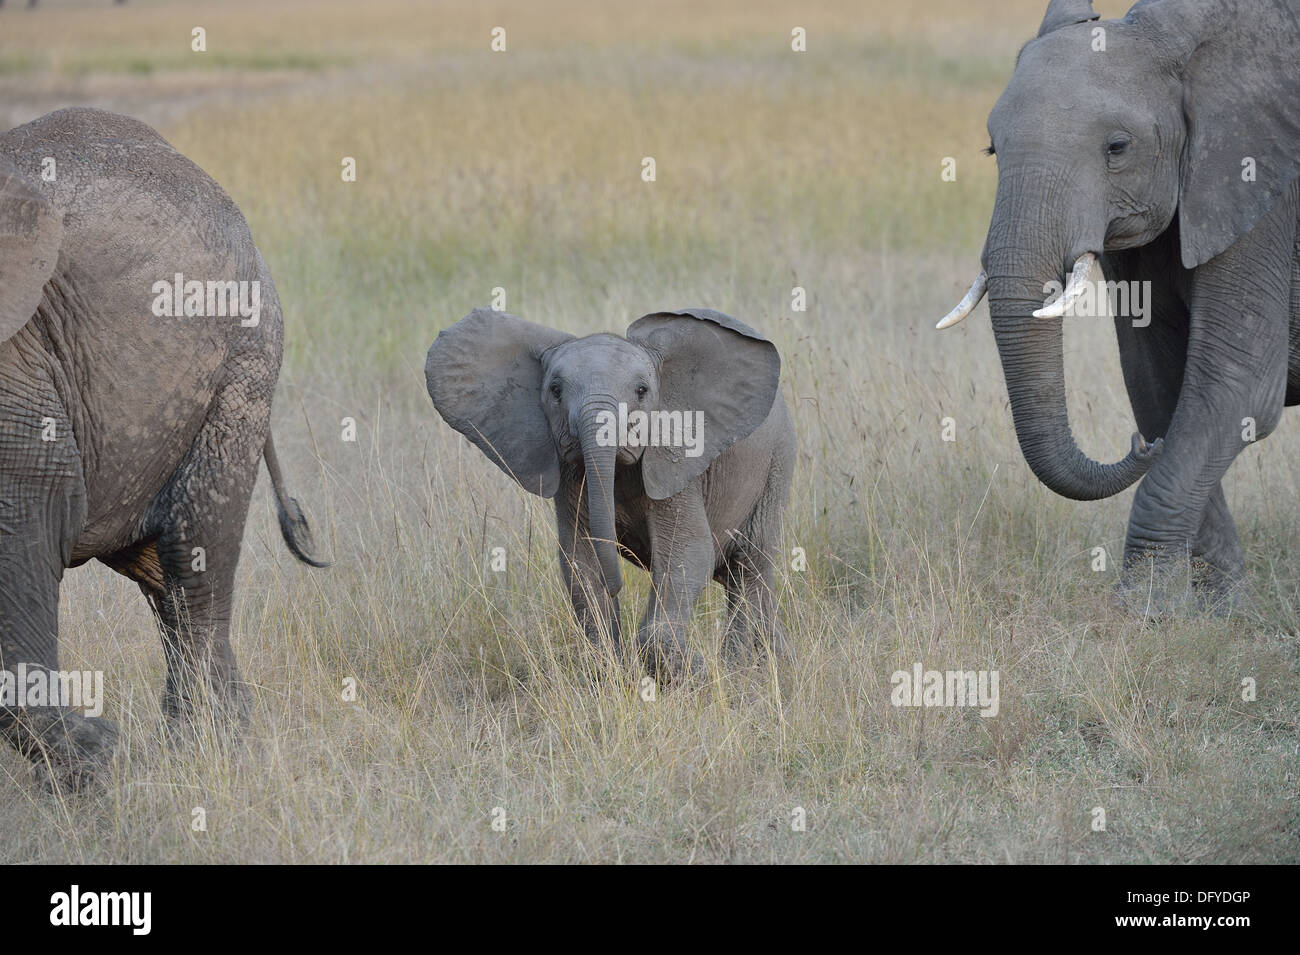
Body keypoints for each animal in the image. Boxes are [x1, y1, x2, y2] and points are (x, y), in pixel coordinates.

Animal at [0, 108, 325, 789]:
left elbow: (29, 516)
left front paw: (97, 760)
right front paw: (92, 759)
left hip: (244, 358)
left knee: (191, 555)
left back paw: (204, 751)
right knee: (154, 568)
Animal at [425, 307, 796, 678]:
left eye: (642, 391)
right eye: (555, 391)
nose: (616, 583)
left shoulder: (675, 465)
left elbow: (687, 553)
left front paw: (696, 671)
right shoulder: (572, 474)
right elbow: (580, 562)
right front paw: (612, 674)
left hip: (775, 464)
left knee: (748, 565)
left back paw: (746, 669)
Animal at [937, 0, 1300, 612]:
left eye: (1117, 148)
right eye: (992, 150)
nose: (1140, 446)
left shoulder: (1265, 195)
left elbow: (1237, 387)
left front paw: (1142, 611)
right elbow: (1156, 381)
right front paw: (1216, 611)